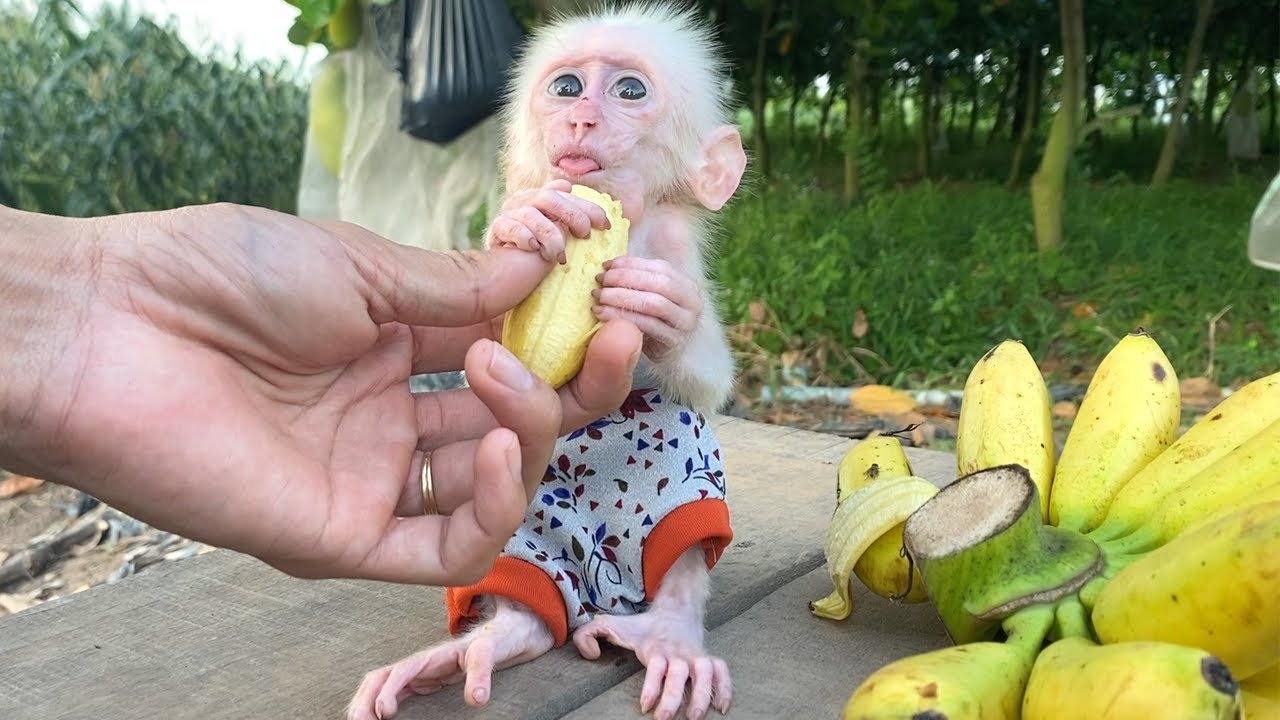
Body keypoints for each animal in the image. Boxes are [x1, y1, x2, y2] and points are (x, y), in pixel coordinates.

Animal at [347, 3, 747, 719]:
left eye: (629, 90)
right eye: (566, 86)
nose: (581, 118)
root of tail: (596, 589)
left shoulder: (672, 239)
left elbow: (706, 383)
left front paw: (665, 310)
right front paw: (521, 222)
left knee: (677, 438)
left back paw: (669, 634)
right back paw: (494, 636)